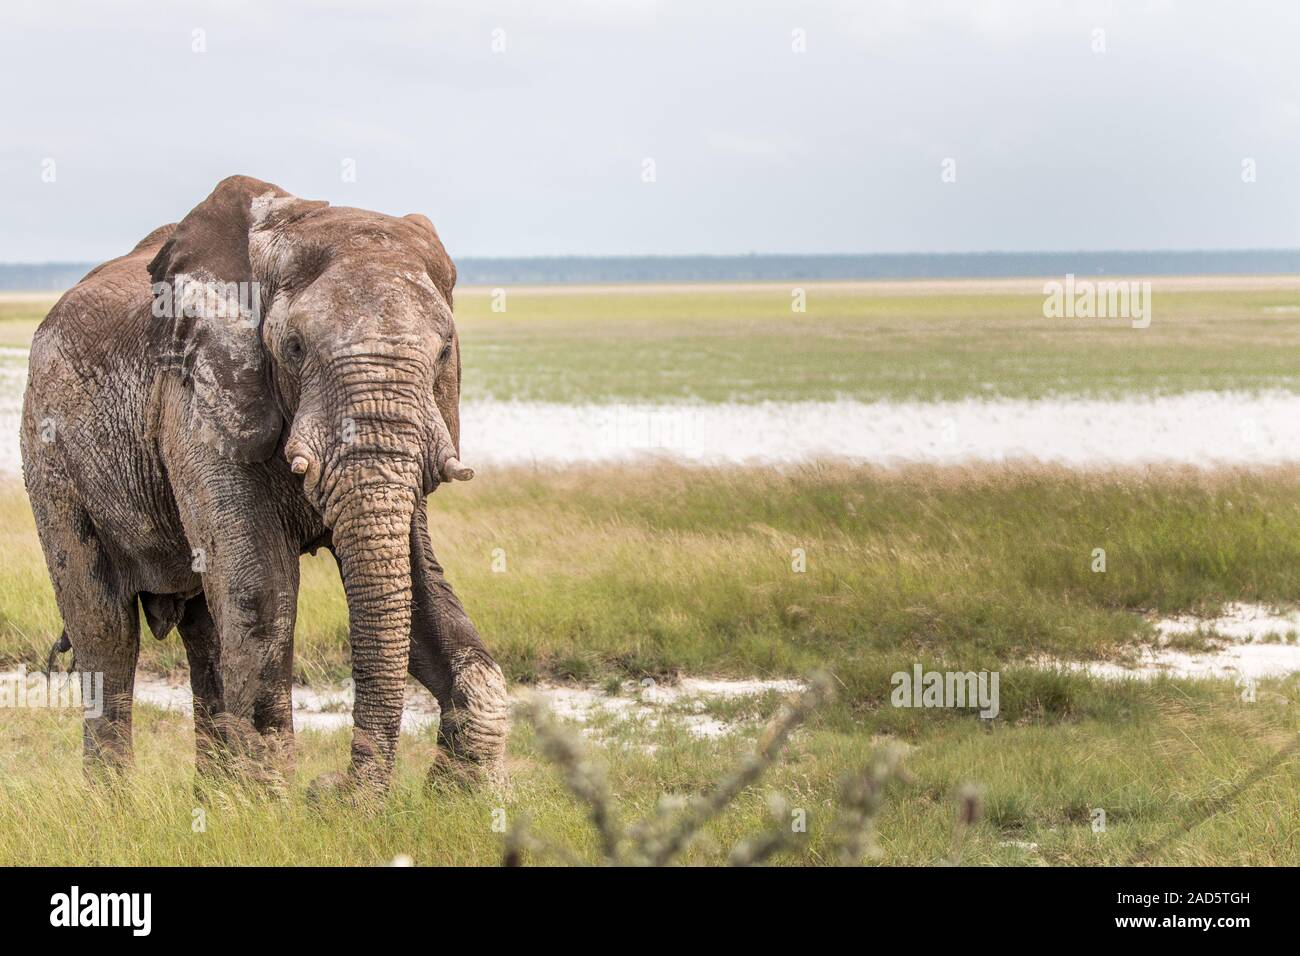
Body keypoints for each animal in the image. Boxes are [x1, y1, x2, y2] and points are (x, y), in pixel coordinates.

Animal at [20, 175, 508, 794]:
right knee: (105, 630)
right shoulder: (198, 400)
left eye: (445, 351)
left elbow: (422, 585)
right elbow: (262, 590)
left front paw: (465, 797)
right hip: (48, 455)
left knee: (205, 630)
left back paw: (212, 797)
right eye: (295, 348)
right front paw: (274, 806)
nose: (332, 788)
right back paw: (115, 804)